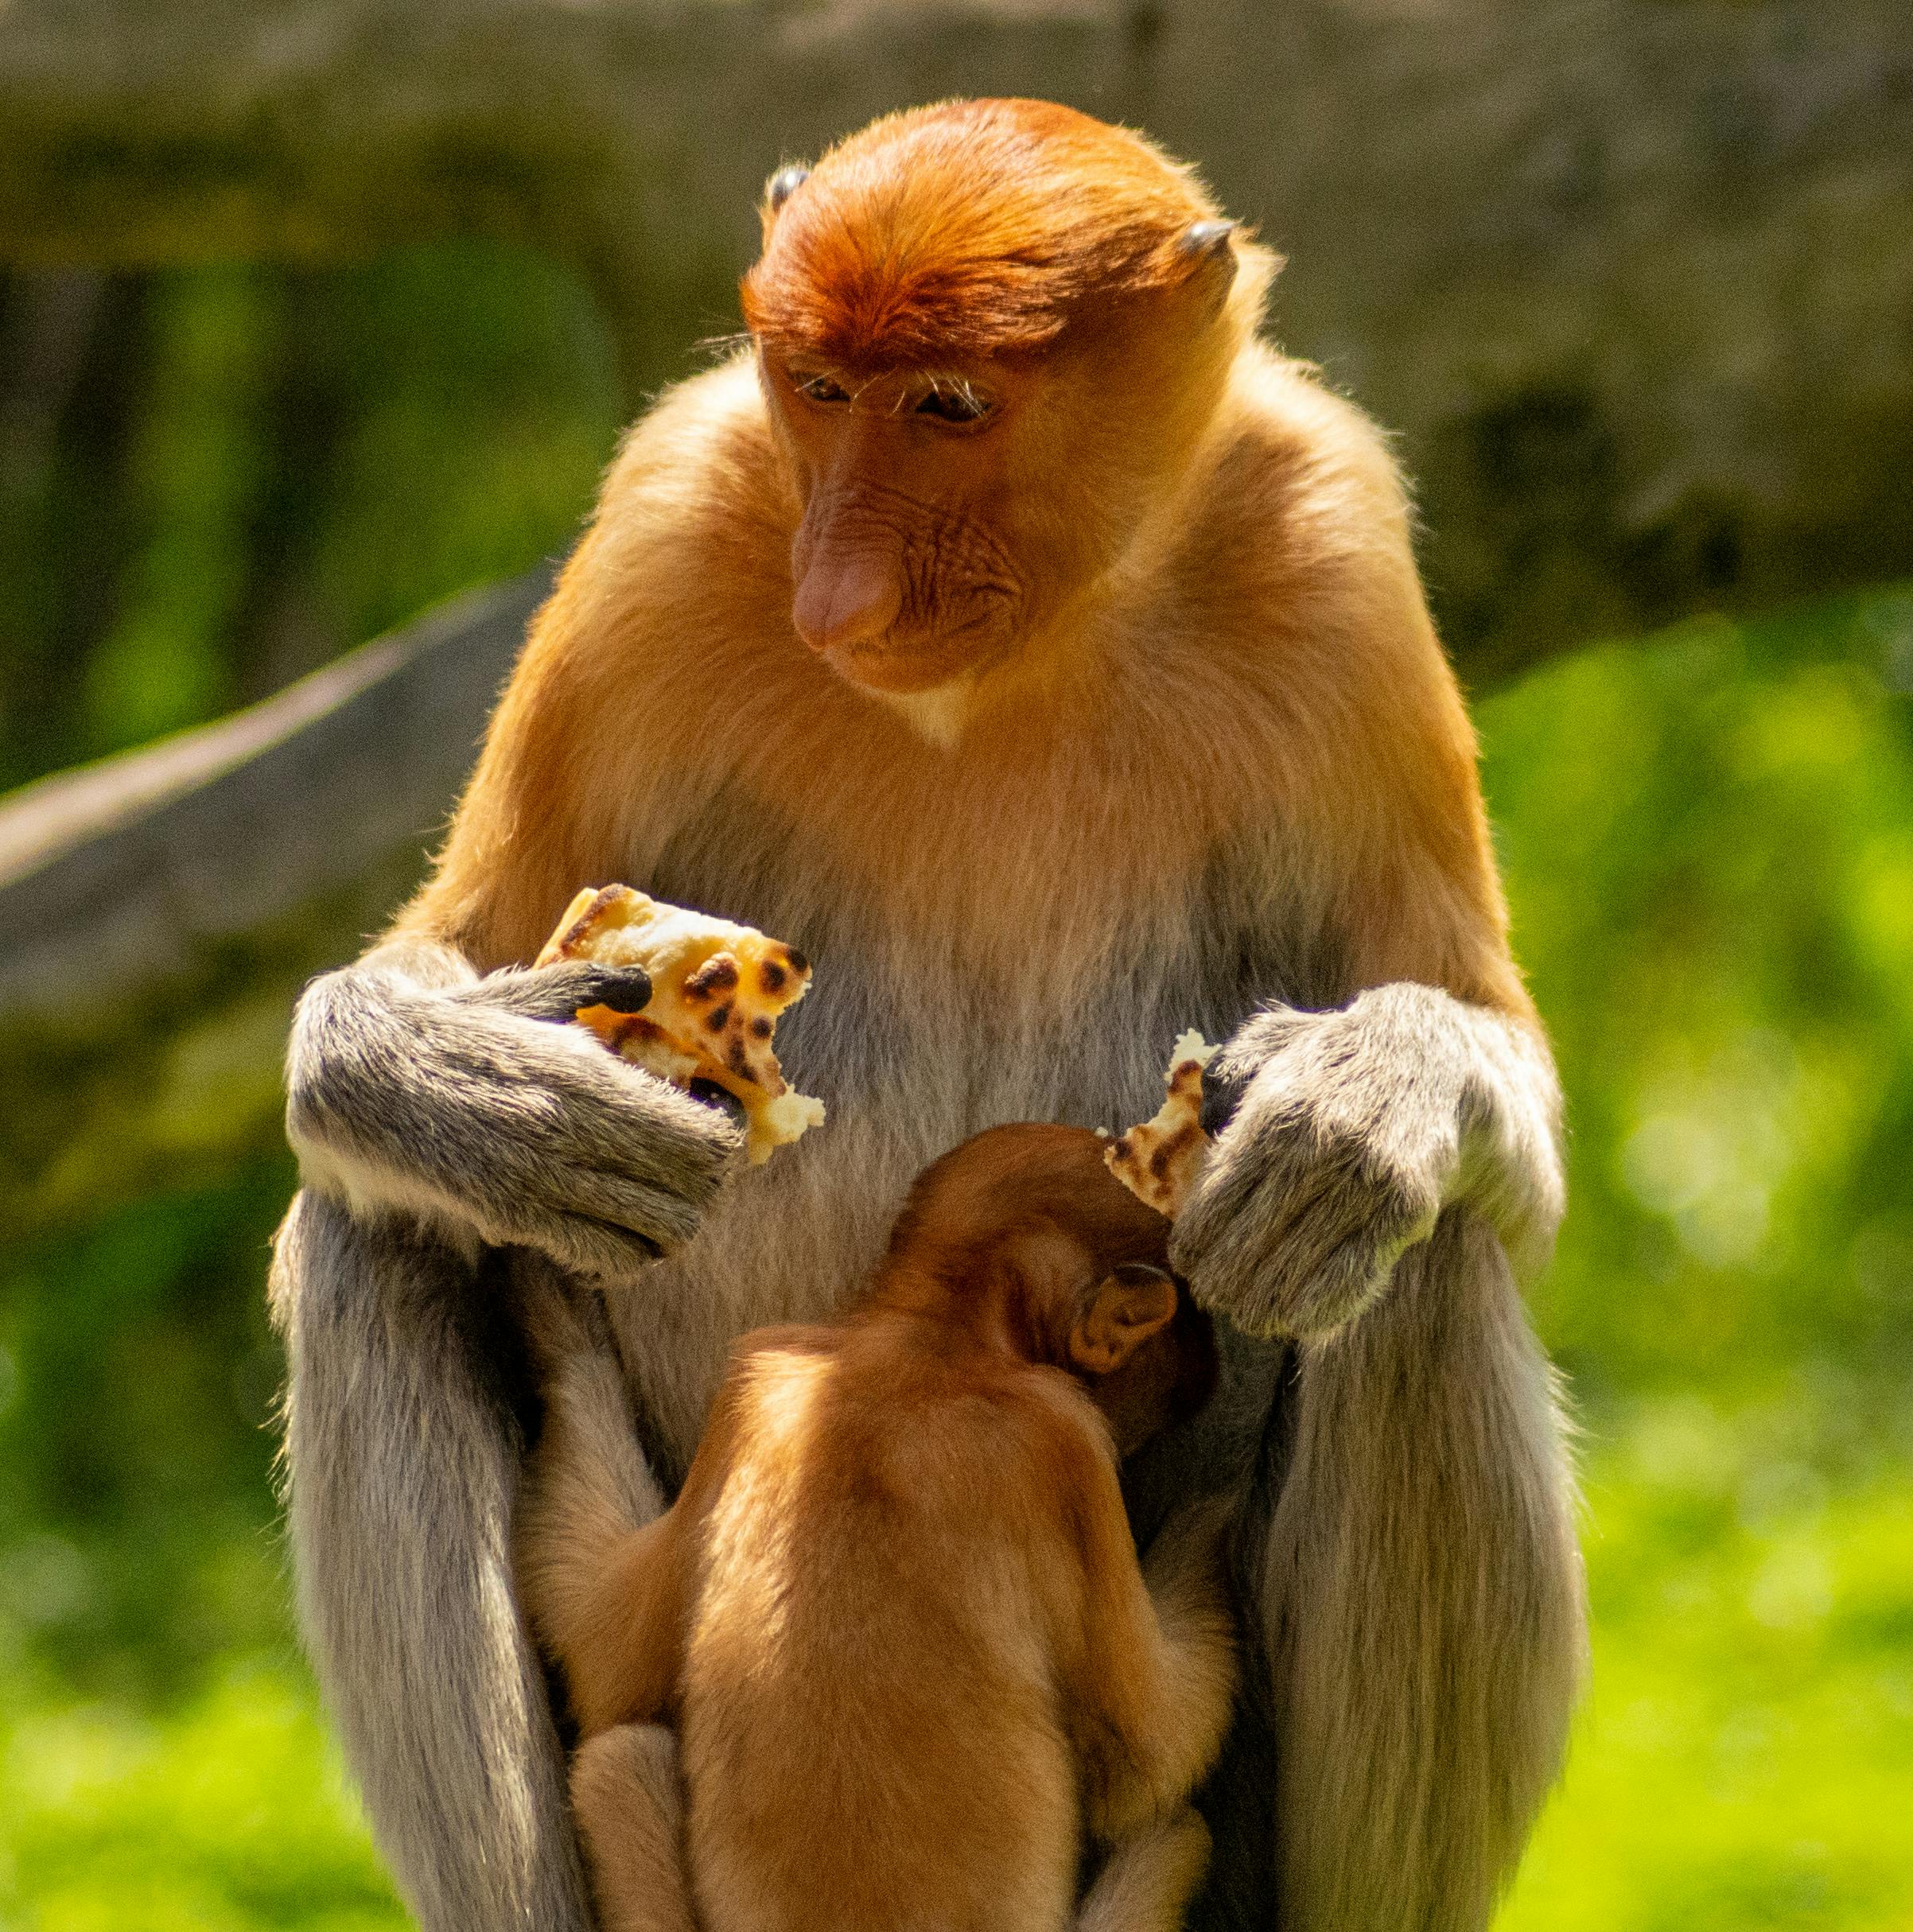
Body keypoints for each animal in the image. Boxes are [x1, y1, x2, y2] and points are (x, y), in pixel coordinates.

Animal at [514, 1122, 1235, 1932]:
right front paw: (1218, 1509)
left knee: (615, 1761)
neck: (929, 1342)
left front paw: (554, 1312)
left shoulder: (758, 1373)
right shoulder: (1064, 1440)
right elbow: (1147, 1766)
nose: (1203, 1367)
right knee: (1175, 1826)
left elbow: (604, 1657)